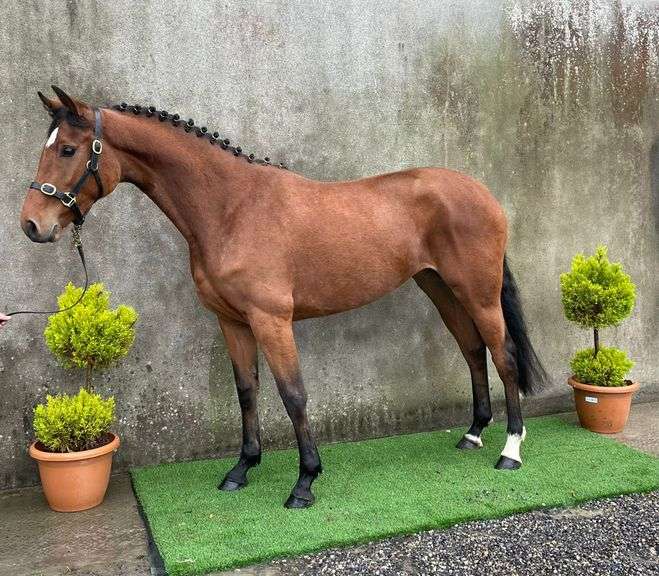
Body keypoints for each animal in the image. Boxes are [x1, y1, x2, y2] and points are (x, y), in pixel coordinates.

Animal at [20, 86, 546, 508]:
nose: (32, 224)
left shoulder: (271, 319)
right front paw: (241, 469)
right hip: (441, 289)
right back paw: (473, 435)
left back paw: (510, 451)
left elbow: (293, 395)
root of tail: (483, 193)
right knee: (473, 351)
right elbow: (247, 392)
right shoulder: (232, 321)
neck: (231, 208)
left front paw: (304, 483)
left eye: (67, 149)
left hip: (477, 292)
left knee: (503, 355)